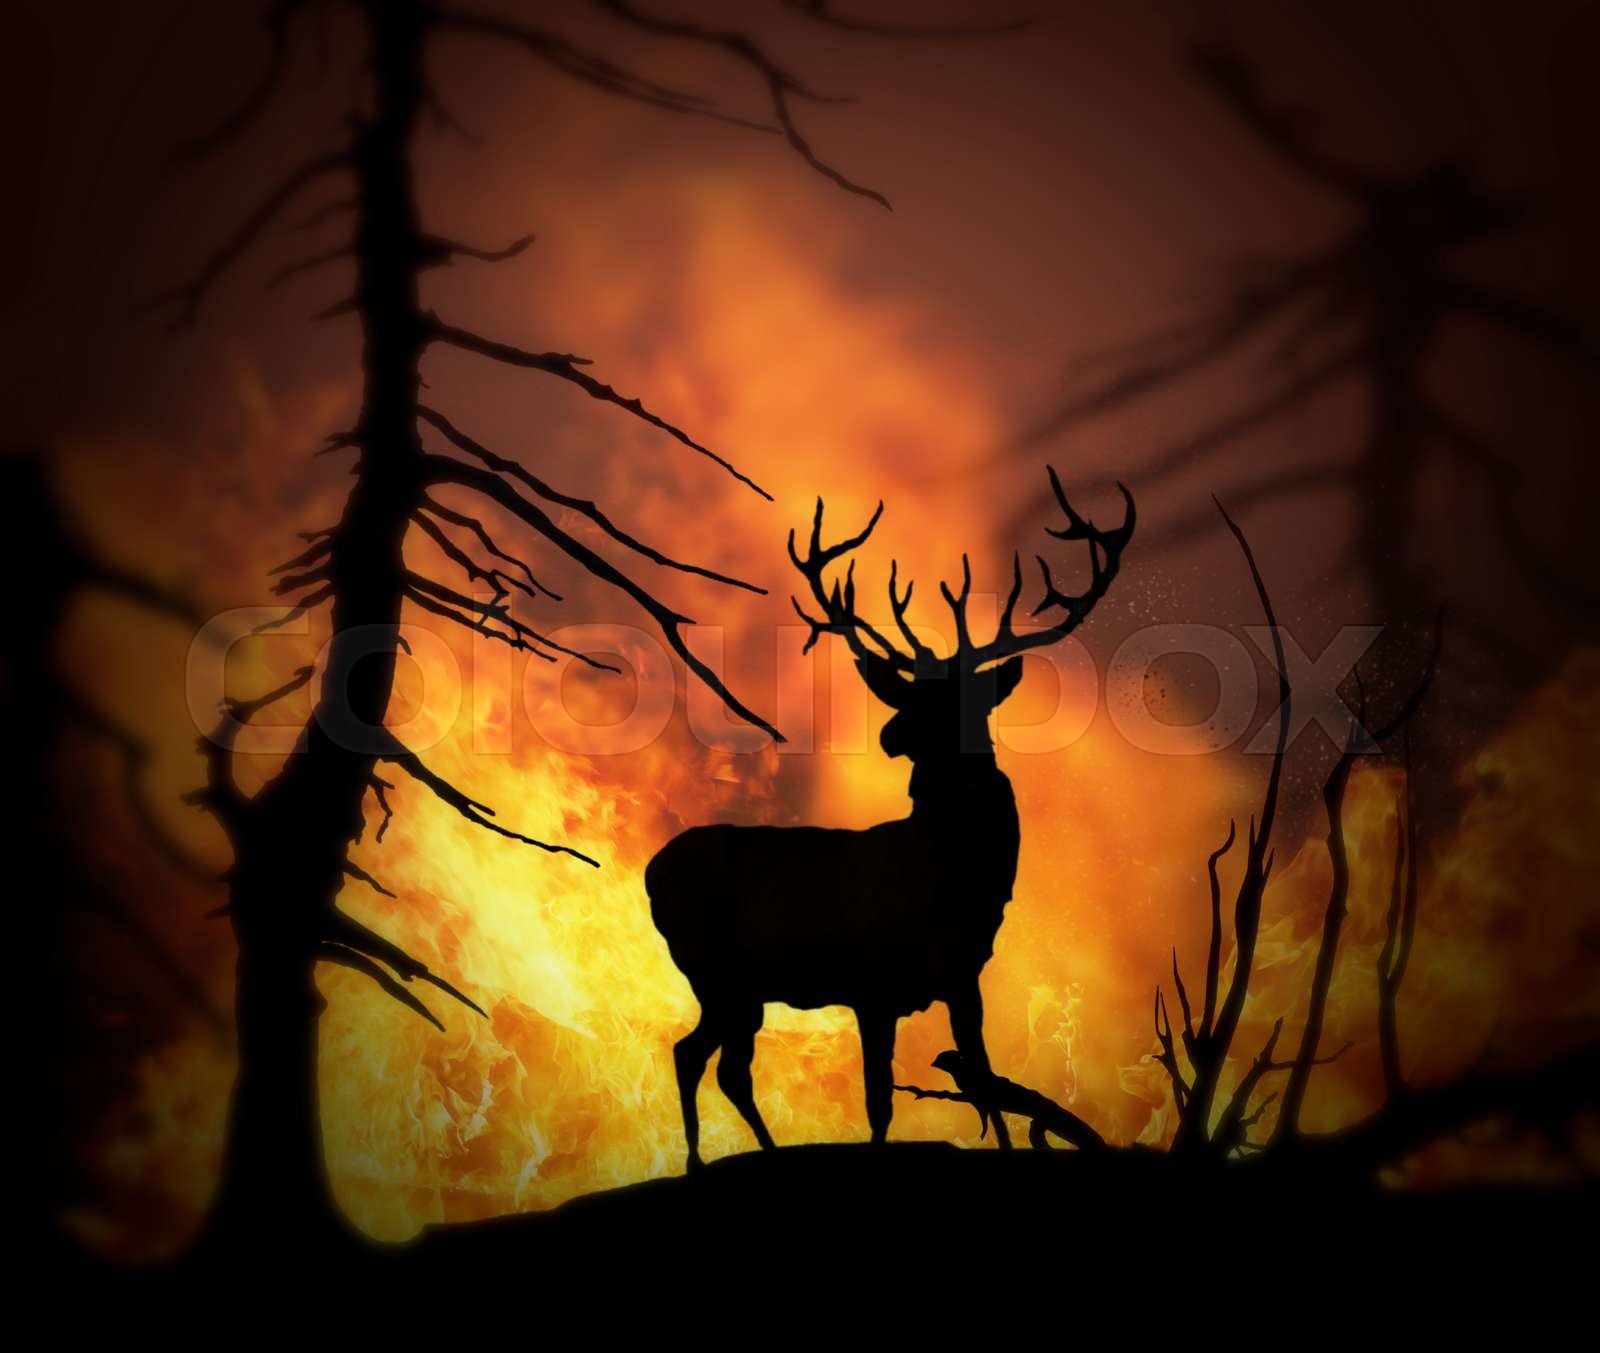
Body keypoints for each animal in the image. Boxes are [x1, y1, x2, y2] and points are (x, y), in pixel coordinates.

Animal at [645, 468, 1134, 1168]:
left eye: (961, 699)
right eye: (911, 693)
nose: (889, 734)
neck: (951, 881)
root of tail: (651, 872)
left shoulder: (964, 977)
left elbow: (987, 1083)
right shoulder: (870, 982)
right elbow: (880, 1103)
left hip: (740, 985)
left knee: (715, 1061)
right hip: (716, 971)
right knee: (701, 1057)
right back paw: (704, 1159)